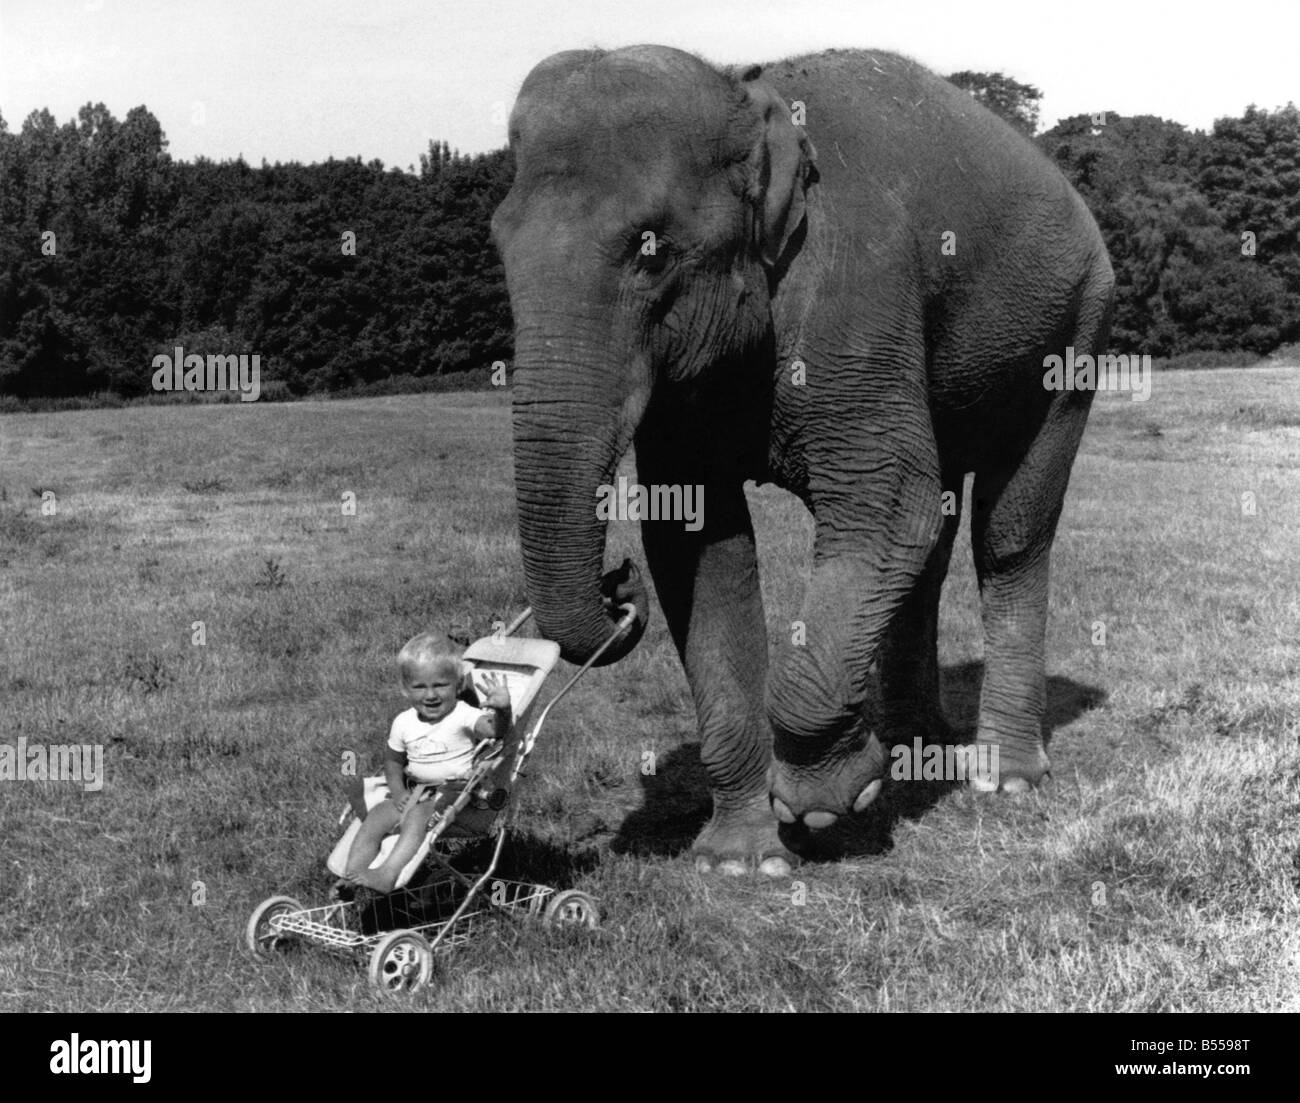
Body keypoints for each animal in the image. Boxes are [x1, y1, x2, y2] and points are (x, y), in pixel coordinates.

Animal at [491, 45, 1115, 875]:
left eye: (651, 250)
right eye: (498, 245)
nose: (616, 587)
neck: (752, 99)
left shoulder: (857, 294)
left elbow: (889, 501)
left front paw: (828, 802)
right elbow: (697, 543)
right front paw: (739, 860)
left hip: (1077, 327)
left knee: (1009, 531)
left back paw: (1003, 777)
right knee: (930, 545)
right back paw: (918, 748)